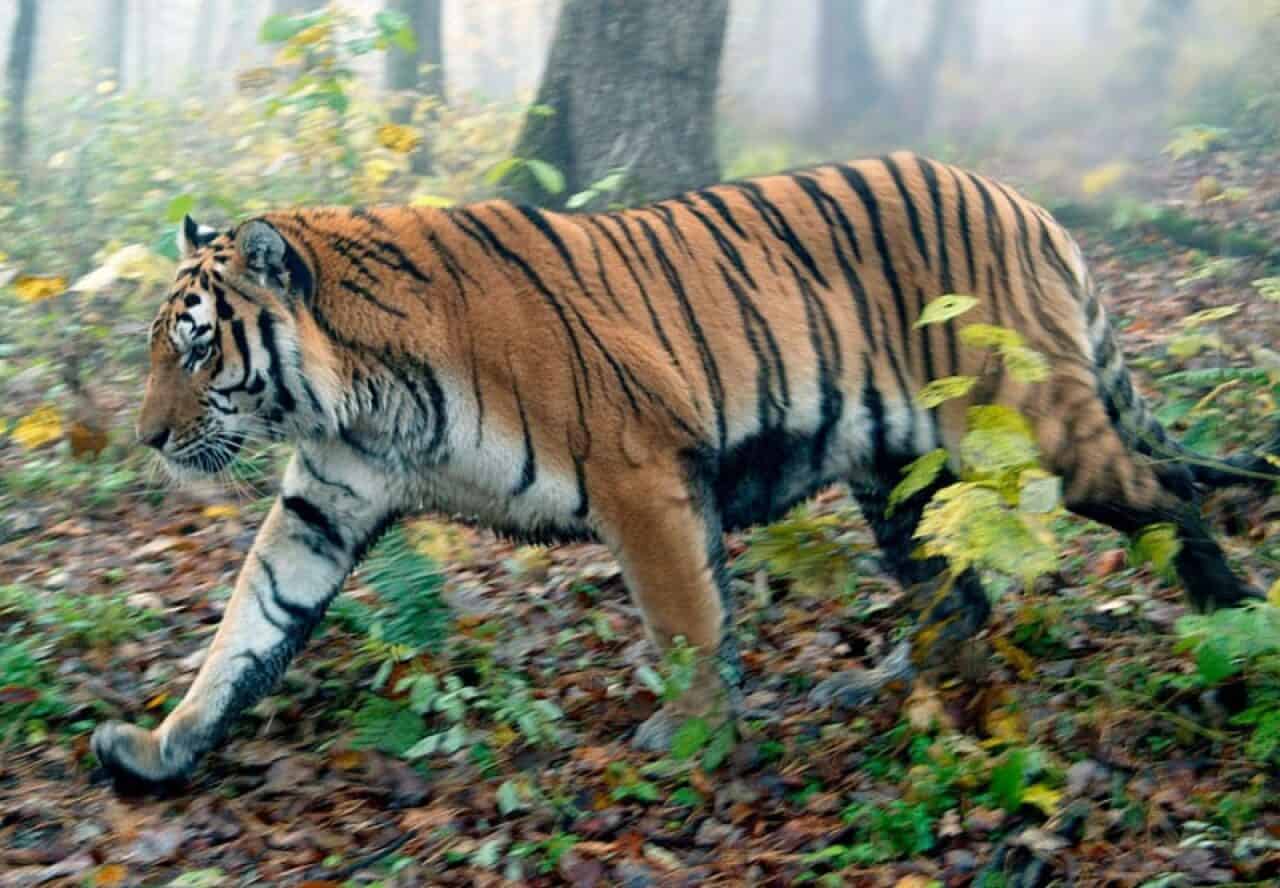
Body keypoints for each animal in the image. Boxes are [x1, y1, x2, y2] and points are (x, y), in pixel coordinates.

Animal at [92, 152, 1277, 787]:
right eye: (158, 347)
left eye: (194, 348)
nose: (147, 439)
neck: (355, 394)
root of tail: (1025, 203)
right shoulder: (323, 504)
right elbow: (248, 630)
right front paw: (161, 748)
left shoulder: (639, 472)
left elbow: (683, 616)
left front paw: (694, 736)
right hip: (897, 477)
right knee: (958, 590)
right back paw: (889, 684)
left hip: (1035, 425)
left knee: (1166, 499)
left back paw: (1234, 643)